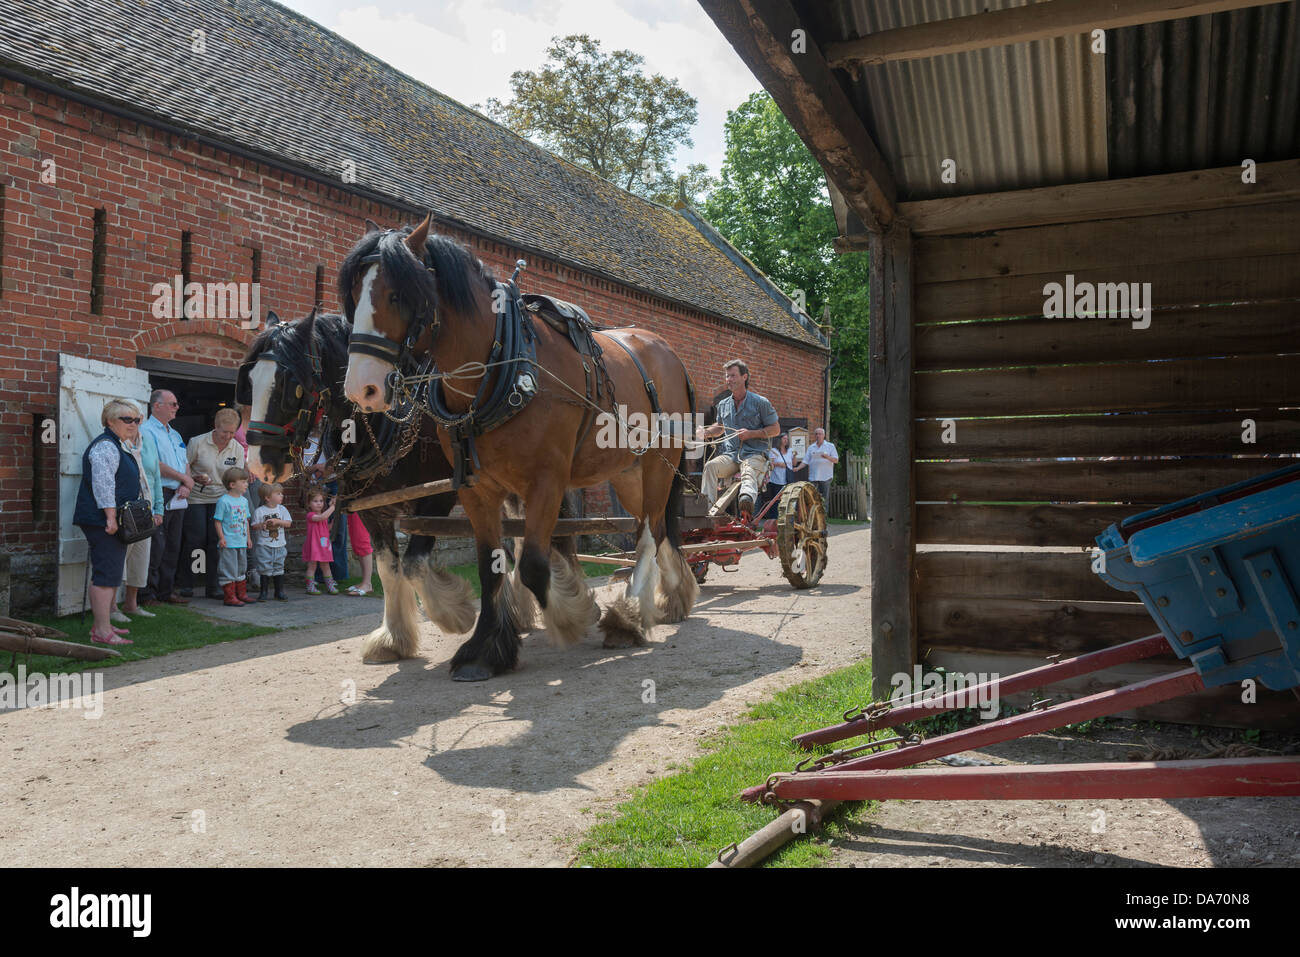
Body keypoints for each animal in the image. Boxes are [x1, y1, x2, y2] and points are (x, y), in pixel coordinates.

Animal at [239, 308, 482, 663]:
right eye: (249, 382)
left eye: (289, 385)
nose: (257, 463)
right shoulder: (373, 509)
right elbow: (388, 568)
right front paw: (395, 638)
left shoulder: (437, 497)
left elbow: (413, 564)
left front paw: (457, 613)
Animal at [339, 215, 699, 681]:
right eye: (353, 297)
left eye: (397, 294)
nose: (359, 388)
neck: (503, 369)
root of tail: (666, 351)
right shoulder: (476, 489)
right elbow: (490, 568)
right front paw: (484, 650)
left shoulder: (546, 481)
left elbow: (532, 565)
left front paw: (573, 613)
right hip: (627, 472)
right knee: (651, 530)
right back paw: (671, 596)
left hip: (660, 463)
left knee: (651, 536)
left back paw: (628, 617)